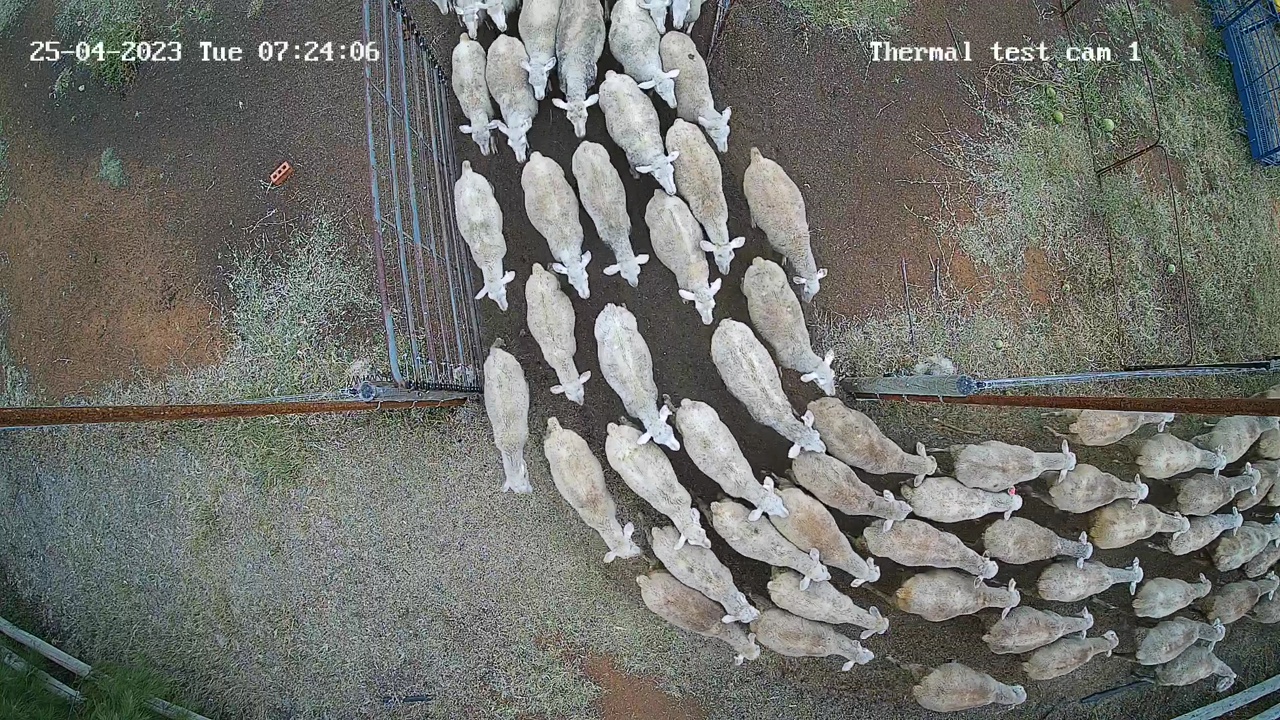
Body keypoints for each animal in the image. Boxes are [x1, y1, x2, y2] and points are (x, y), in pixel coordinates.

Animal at [525, 263, 590, 404]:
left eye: (581, 389)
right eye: (568, 395)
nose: (581, 403)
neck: (561, 357)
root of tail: (537, 272)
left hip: (551, 282)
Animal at [594, 304, 679, 450]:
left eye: (671, 430)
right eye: (658, 442)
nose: (677, 447)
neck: (644, 402)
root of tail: (610, 309)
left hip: (629, 318)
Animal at [645, 191, 720, 324]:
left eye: (713, 305)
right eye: (697, 308)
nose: (708, 322)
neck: (695, 274)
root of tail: (658, 194)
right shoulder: (681, 282)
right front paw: (685, 300)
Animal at [741, 258, 834, 395]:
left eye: (833, 375)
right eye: (819, 381)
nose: (832, 393)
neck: (802, 353)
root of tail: (759, 263)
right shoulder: (782, 360)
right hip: (747, 285)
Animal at [742, 147, 824, 301]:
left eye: (816, 291)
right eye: (805, 289)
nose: (806, 301)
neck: (797, 244)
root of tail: (758, 159)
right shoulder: (775, 244)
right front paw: (783, 259)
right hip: (748, 196)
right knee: (750, 209)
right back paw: (753, 221)